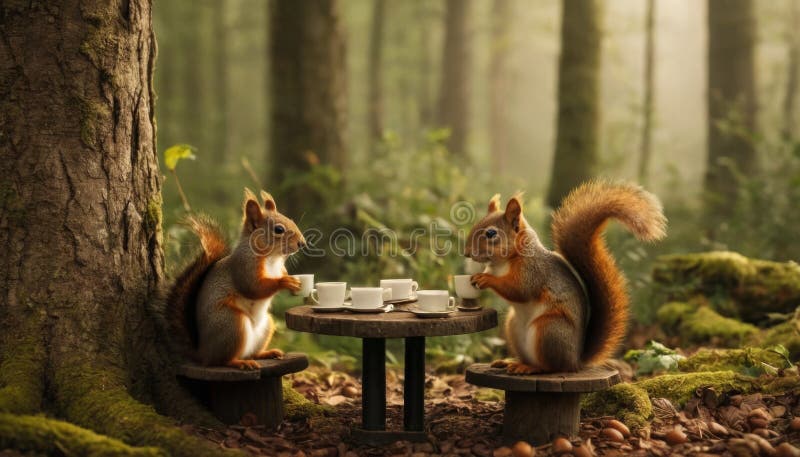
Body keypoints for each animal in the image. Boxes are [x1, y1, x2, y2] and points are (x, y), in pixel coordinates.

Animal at [166, 188, 305, 370]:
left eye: (291, 220)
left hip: (266, 324)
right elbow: (253, 287)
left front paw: (290, 280)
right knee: (221, 361)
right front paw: (285, 282)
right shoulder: (244, 266)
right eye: (279, 229)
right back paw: (240, 362)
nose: (302, 243)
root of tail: (203, 352)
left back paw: (266, 353)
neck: (273, 258)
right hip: (231, 324)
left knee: (251, 353)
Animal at [466, 180, 666, 374]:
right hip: (513, 326)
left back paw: (529, 367)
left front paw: (485, 279)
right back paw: (510, 362)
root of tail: (575, 360)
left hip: (549, 329)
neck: (502, 262)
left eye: (491, 233)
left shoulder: (533, 271)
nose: (467, 252)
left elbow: (519, 290)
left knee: (550, 367)